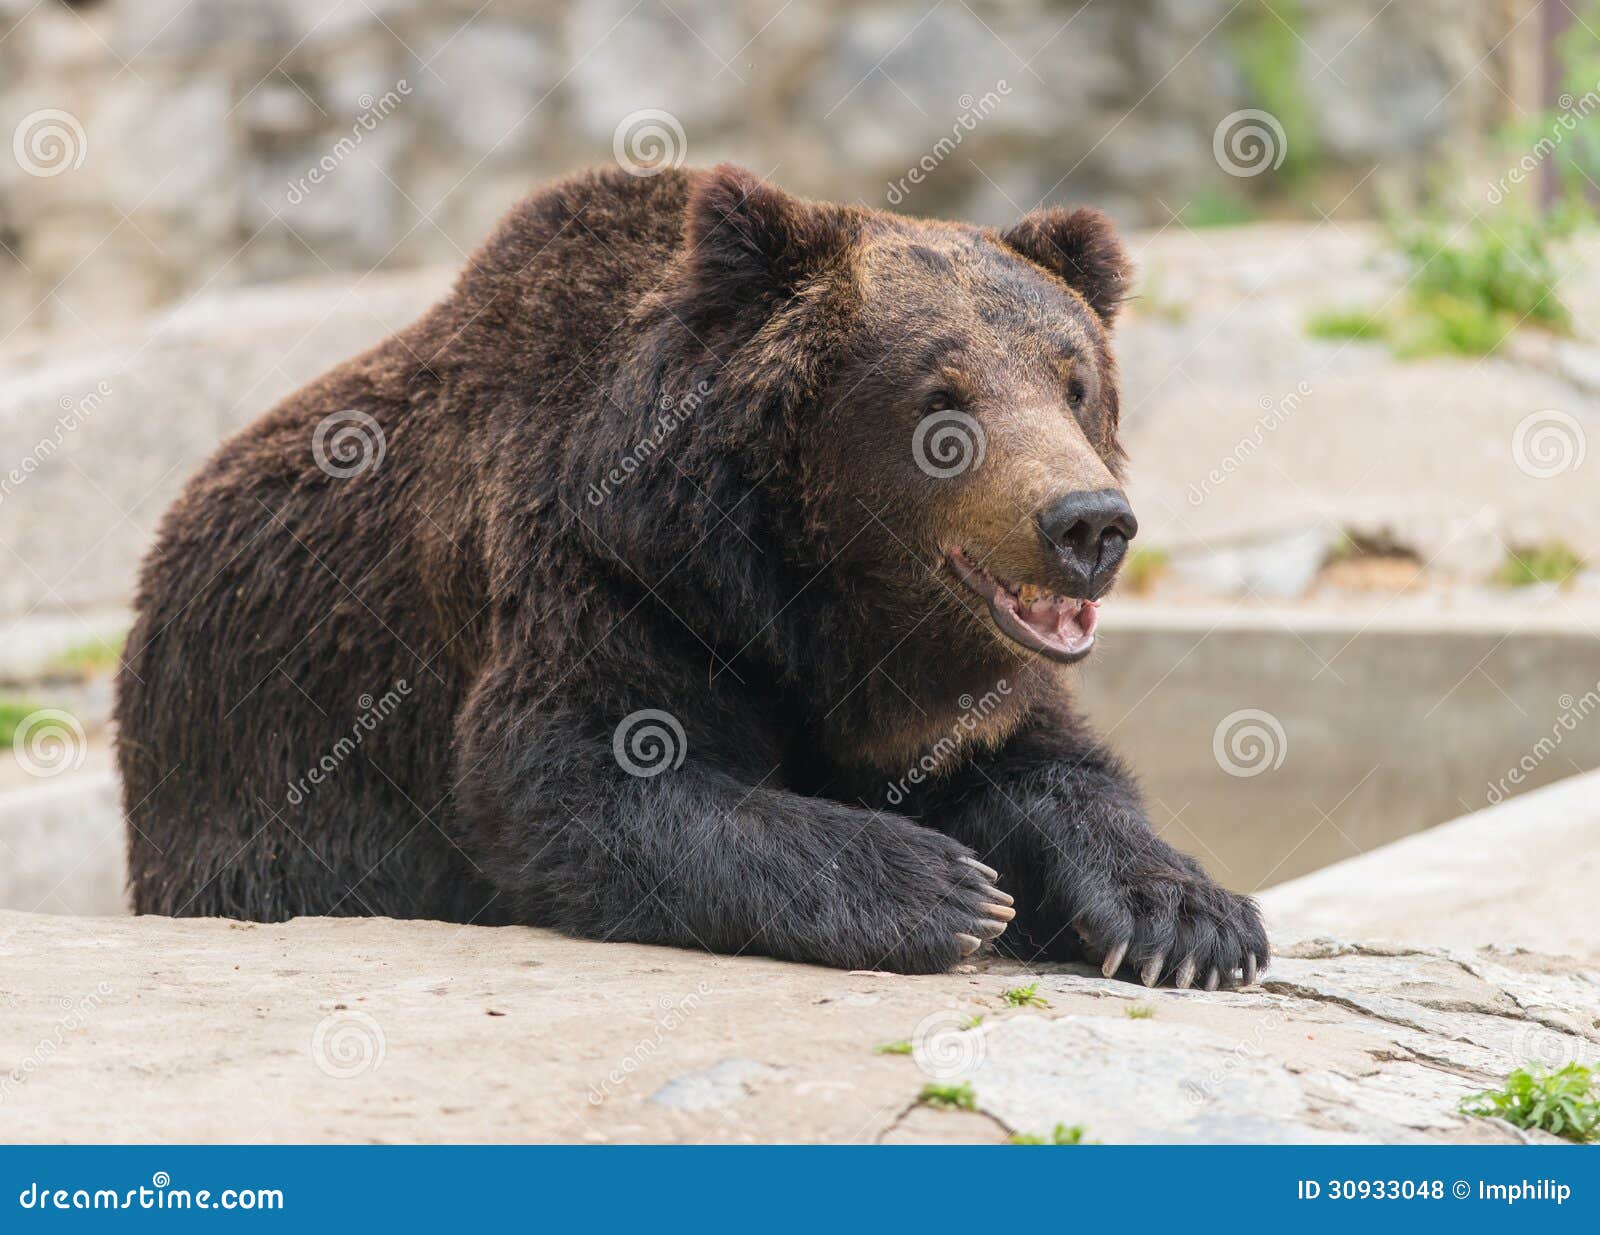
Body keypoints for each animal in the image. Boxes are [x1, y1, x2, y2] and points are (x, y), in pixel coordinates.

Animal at [115, 163, 1268, 988]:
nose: (1088, 522)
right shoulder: (609, 578)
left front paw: (1190, 919)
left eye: (1074, 384)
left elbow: (1048, 767)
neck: (806, 593)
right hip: (242, 774)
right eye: (945, 404)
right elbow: (582, 774)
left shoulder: (949, 681)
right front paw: (941, 887)